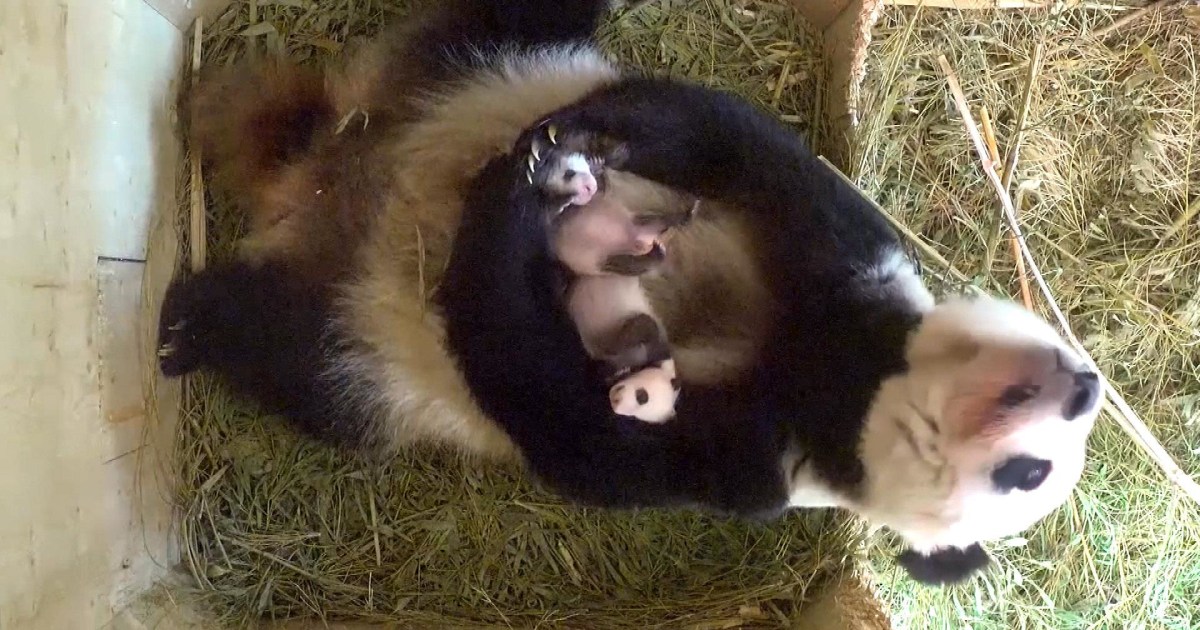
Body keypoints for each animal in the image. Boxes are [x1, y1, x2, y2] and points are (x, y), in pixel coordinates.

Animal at [158, 0, 1102, 585]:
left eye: (1029, 474)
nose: (1086, 385)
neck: (855, 385)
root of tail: (328, 173)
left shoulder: (753, 465)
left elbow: (568, 423)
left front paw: (506, 225)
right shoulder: (846, 258)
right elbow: (728, 140)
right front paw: (570, 148)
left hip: (375, 356)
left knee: (301, 362)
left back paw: (190, 325)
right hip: (495, 53)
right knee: (525, 16)